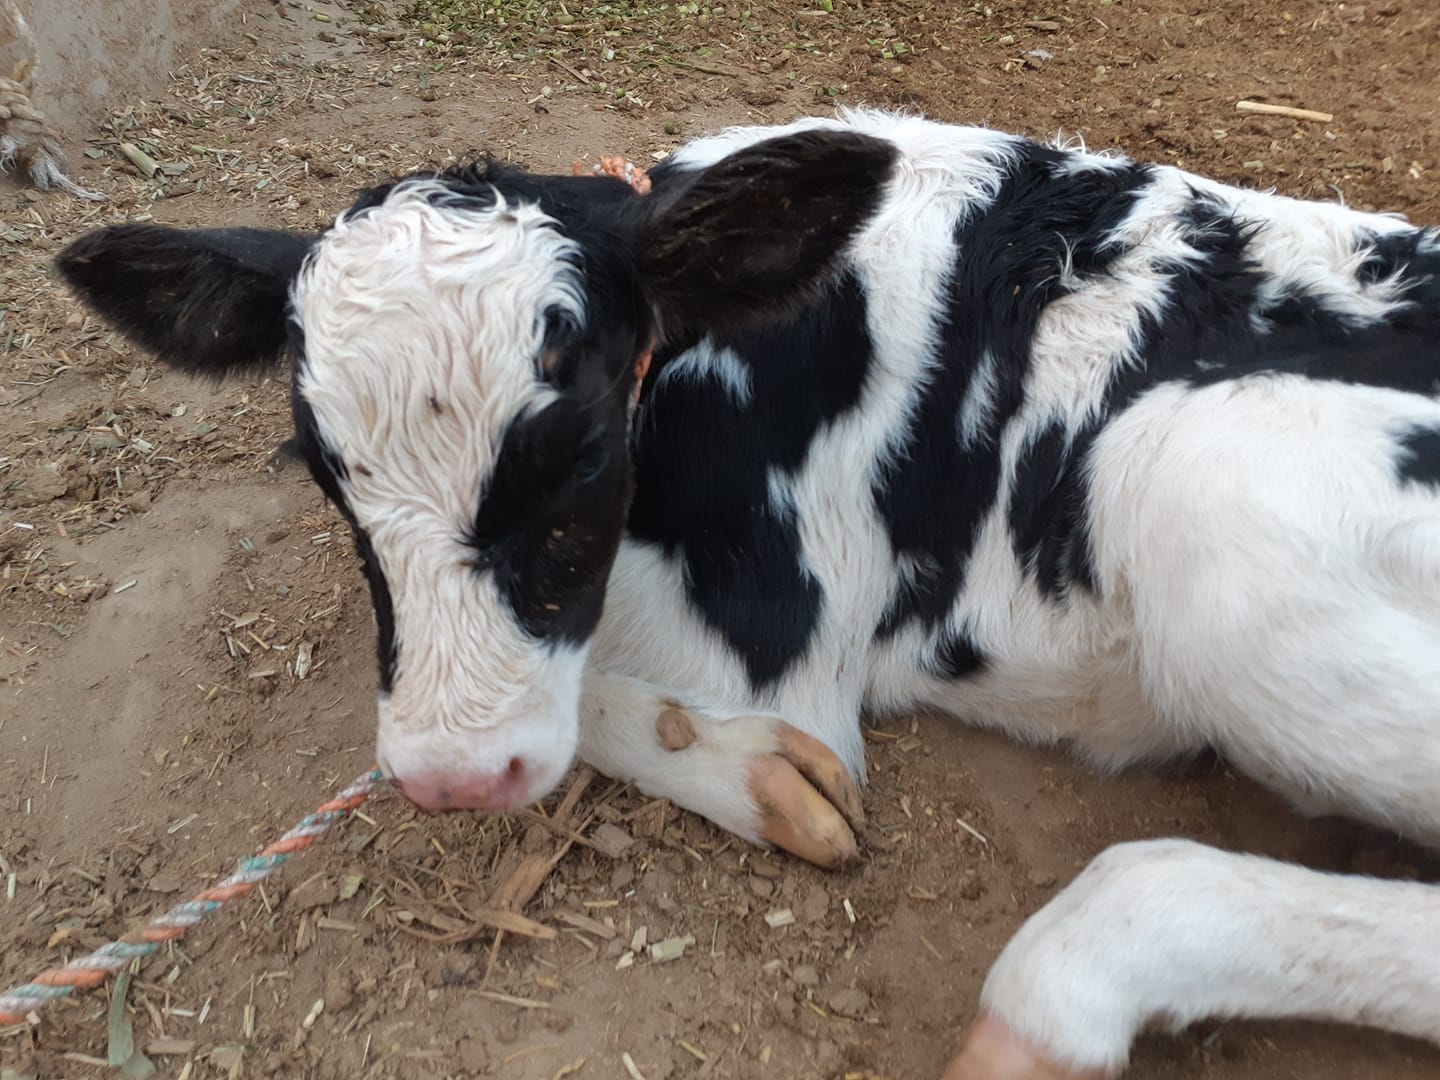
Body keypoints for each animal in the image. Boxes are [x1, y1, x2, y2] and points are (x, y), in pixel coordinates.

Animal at [56, 109, 1440, 1079]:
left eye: (586, 449)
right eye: (321, 465)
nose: (450, 776)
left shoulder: (778, 631)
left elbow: (588, 717)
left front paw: (774, 778)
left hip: (1198, 481)